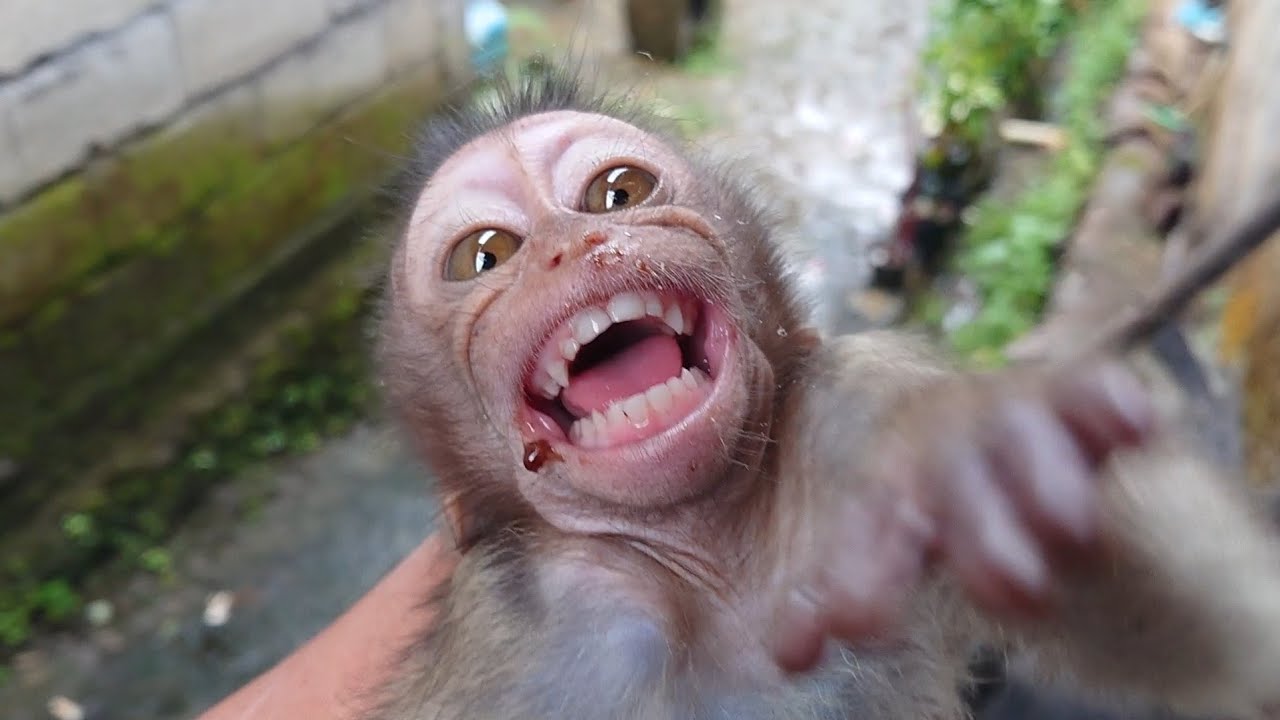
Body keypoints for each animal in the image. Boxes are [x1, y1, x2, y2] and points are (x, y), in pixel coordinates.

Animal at [368, 66, 1280, 720]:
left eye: (617, 193)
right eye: (485, 255)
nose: (577, 246)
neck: (723, 568)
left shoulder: (858, 403)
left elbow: (1241, 640)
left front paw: (985, 459)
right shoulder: (531, 630)